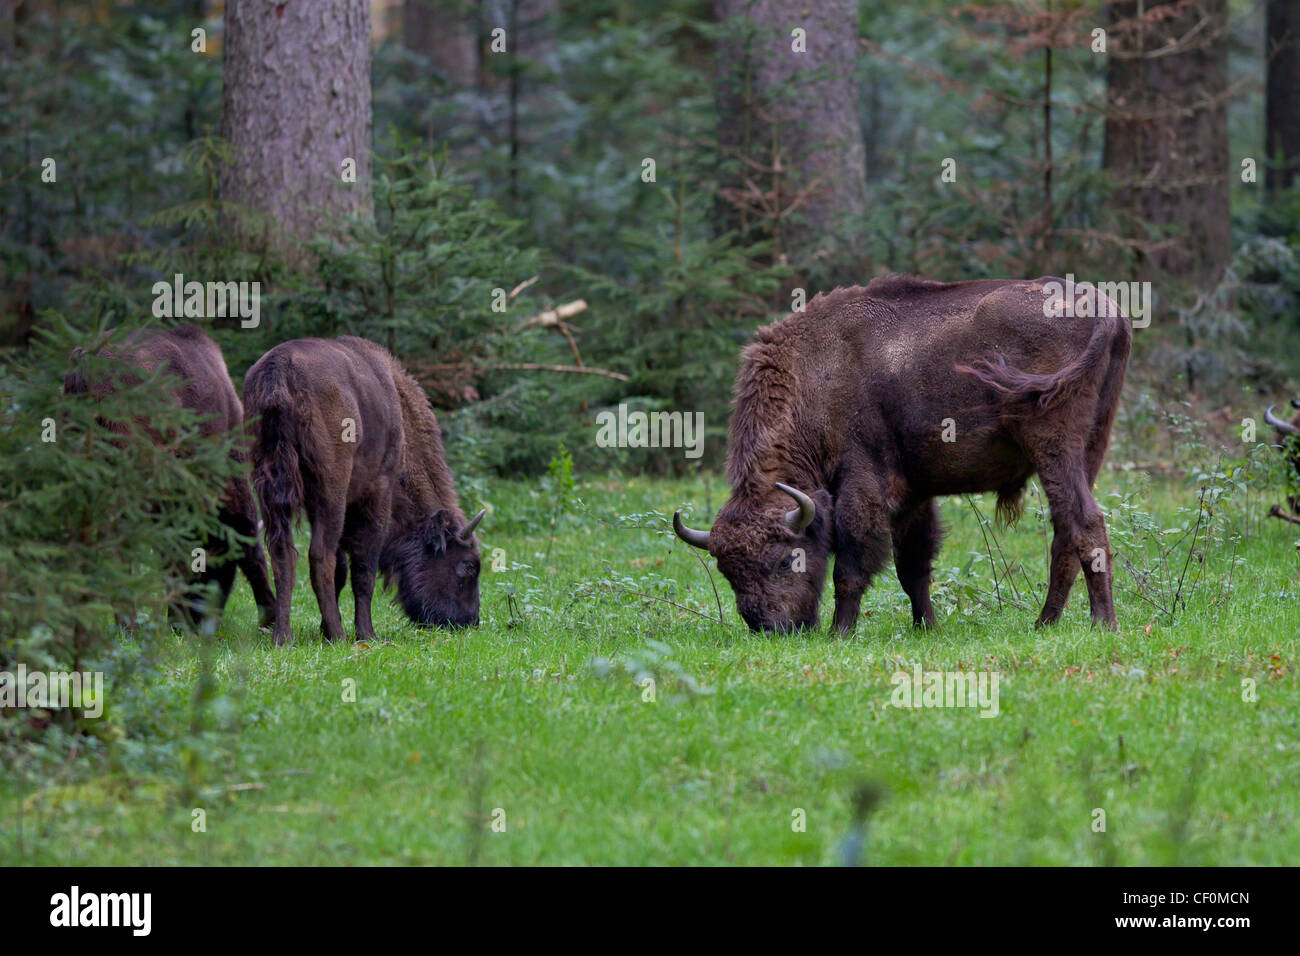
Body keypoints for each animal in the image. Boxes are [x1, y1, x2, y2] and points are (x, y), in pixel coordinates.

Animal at [243, 336, 484, 645]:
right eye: (468, 565)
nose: (469, 621)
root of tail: (280, 371)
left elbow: (342, 568)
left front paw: (324, 628)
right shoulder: (378, 489)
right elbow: (363, 567)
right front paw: (365, 633)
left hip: (269, 486)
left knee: (283, 553)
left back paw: (283, 636)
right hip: (332, 488)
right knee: (320, 555)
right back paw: (338, 635)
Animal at [672, 276, 1132, 634]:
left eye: (786, 561)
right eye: (728, 572)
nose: (769, 628)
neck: (819, 376)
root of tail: (1103, 308)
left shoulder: (863, 483)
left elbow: (851, 566)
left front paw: (840, 633)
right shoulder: (914, 493)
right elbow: (913, 567)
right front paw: (927, 627)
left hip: (1053, 446)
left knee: (1085, 523)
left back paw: (1101, 625)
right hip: (1090, 448)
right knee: (1065, 534)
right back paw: (1046, 624)